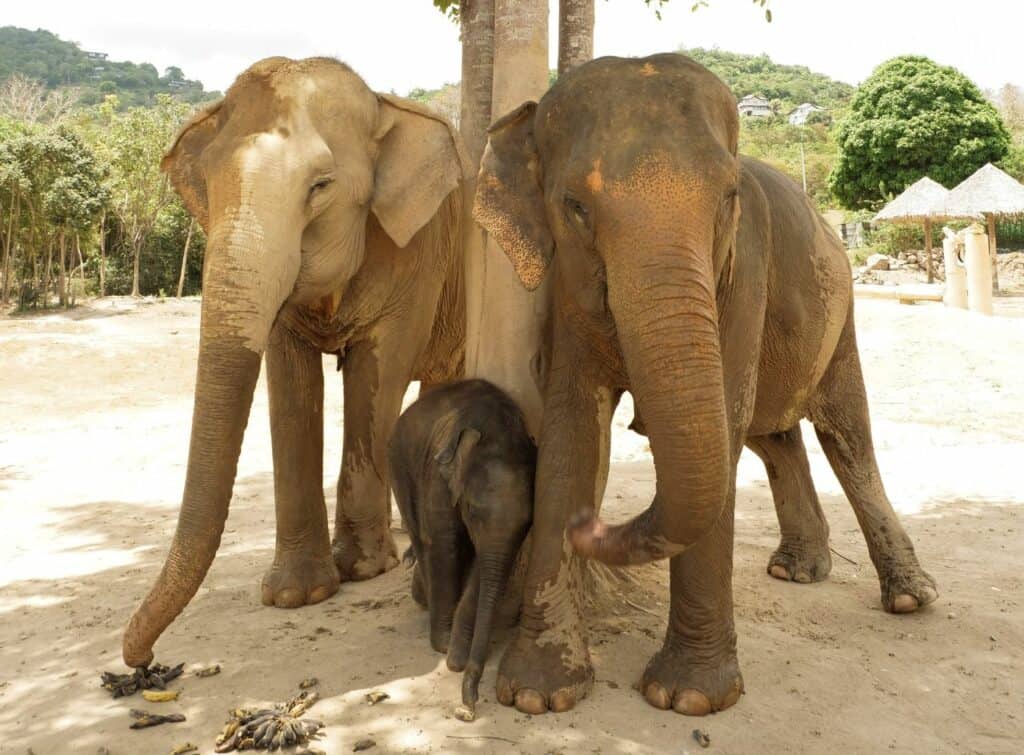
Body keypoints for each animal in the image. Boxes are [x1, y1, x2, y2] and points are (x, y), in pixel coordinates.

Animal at [122, 56, 470, 668]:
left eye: (320, 186)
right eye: (208, 188)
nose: (143, 662)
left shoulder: (418, 250)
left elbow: (376, 371)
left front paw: (362, 569)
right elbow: (288, 384)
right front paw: (296, 595)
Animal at [388, 378, 535, 716]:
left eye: (528, 524)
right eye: (472, 510)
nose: (470, 702)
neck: (498, 430)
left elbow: (484, 562)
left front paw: (455, 650)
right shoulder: (438, 476)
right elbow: (445, 543)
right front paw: (443, 646)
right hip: (398, 463)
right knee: (420, 534)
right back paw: (426, 599)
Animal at [472, 53, 938, 717]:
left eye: (728, 198)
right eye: (575, 207)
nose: (592, 526)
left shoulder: (745, 268)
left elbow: (723, 421)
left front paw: (688, 698)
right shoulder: (568, 288)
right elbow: (571, 431)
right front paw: (537, 694)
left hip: (842, 314)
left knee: (848, 437)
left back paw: (908, 597)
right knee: (775, 437)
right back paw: (800, 569)